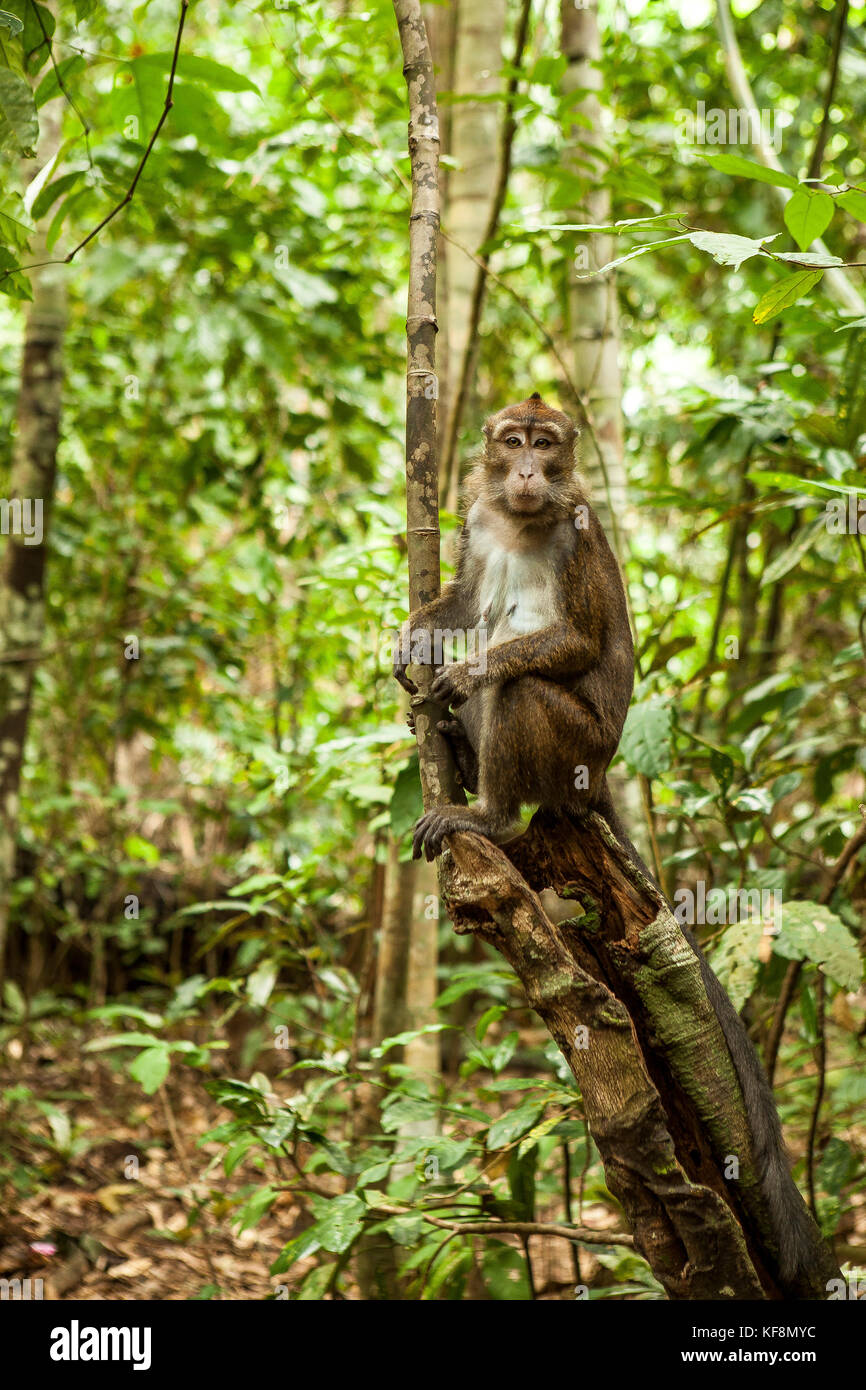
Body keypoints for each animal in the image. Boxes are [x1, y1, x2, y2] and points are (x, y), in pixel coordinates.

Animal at [393, 392, 821, 1288]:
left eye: (545, 445)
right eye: (512, 442)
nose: (526, 469)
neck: (522, 518)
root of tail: (600, 776)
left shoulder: (579, 530)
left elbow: (574, 644)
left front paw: (466, 672)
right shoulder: (478, 517)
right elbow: (461, 603)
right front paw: (410, 636)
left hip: (575, 749)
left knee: (518, 686)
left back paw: (489, 811)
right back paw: (454, 750)